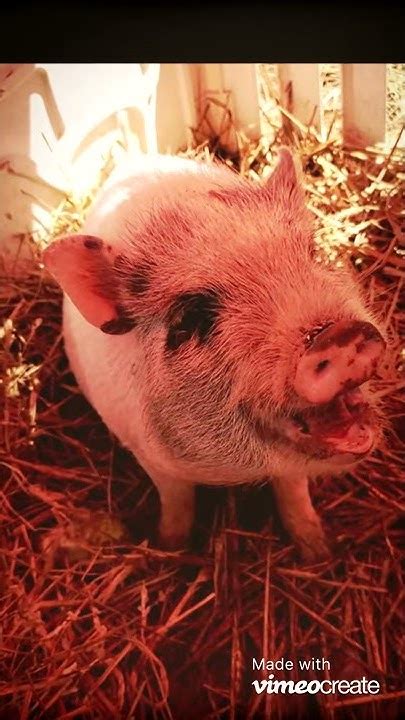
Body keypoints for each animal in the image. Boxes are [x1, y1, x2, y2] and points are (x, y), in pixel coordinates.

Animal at [43, 148, 386, 562]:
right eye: (192, 318)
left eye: (313, 254)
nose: (337, 334)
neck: (234, 472)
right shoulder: (149, 456)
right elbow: (177, 503)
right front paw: (169, 547)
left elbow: (294, 490)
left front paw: (319, 553)